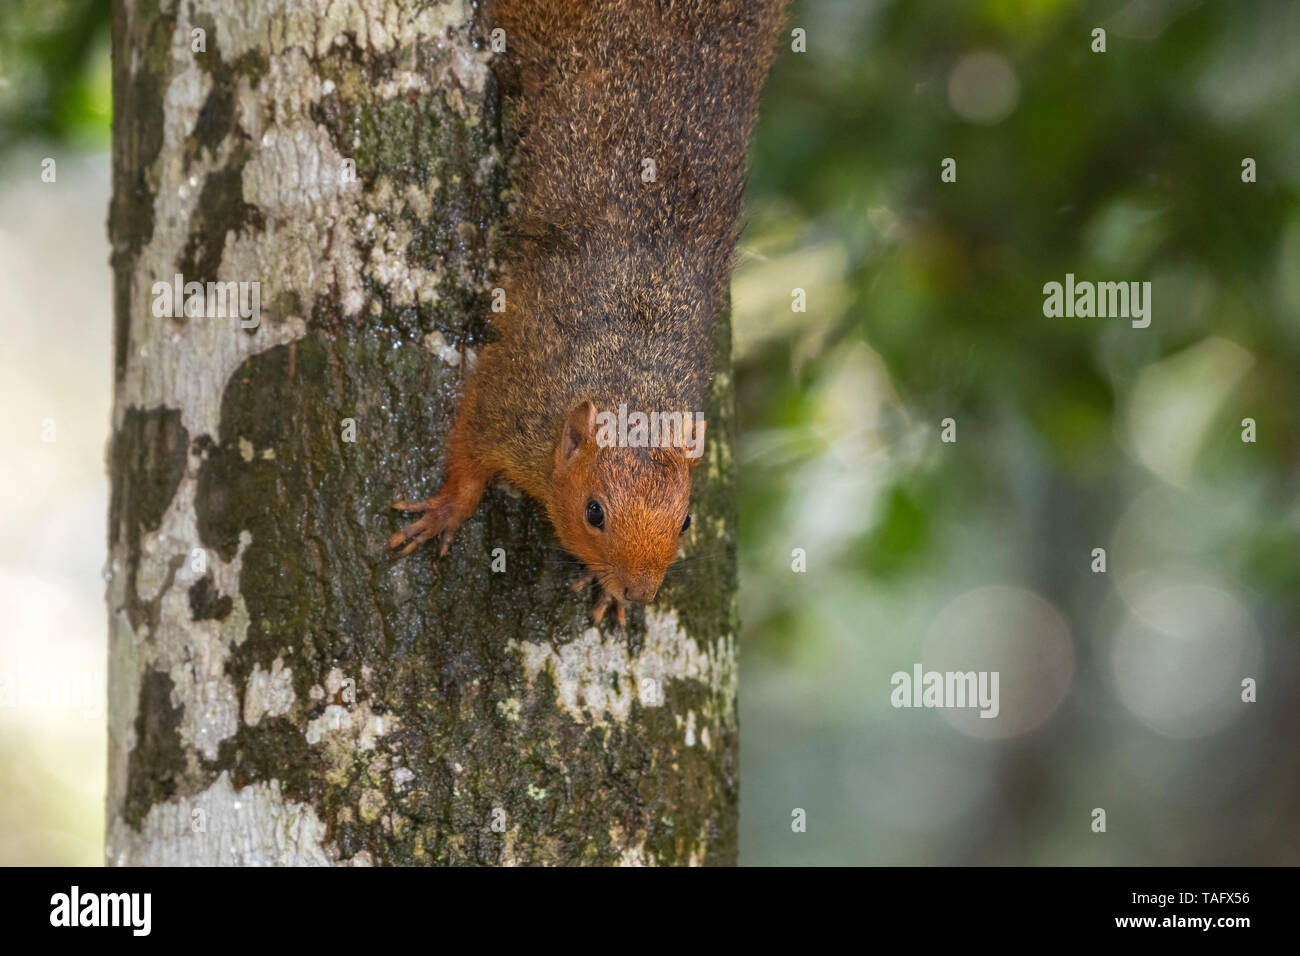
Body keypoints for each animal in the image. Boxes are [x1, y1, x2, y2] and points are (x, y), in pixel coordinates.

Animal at [390, 0, 787, 626]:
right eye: (594, 512)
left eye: (686, 522)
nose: (640, 592)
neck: (633, 380)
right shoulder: (514, 398)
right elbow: (470, 446)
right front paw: (447, 510)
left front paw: (605, 590)